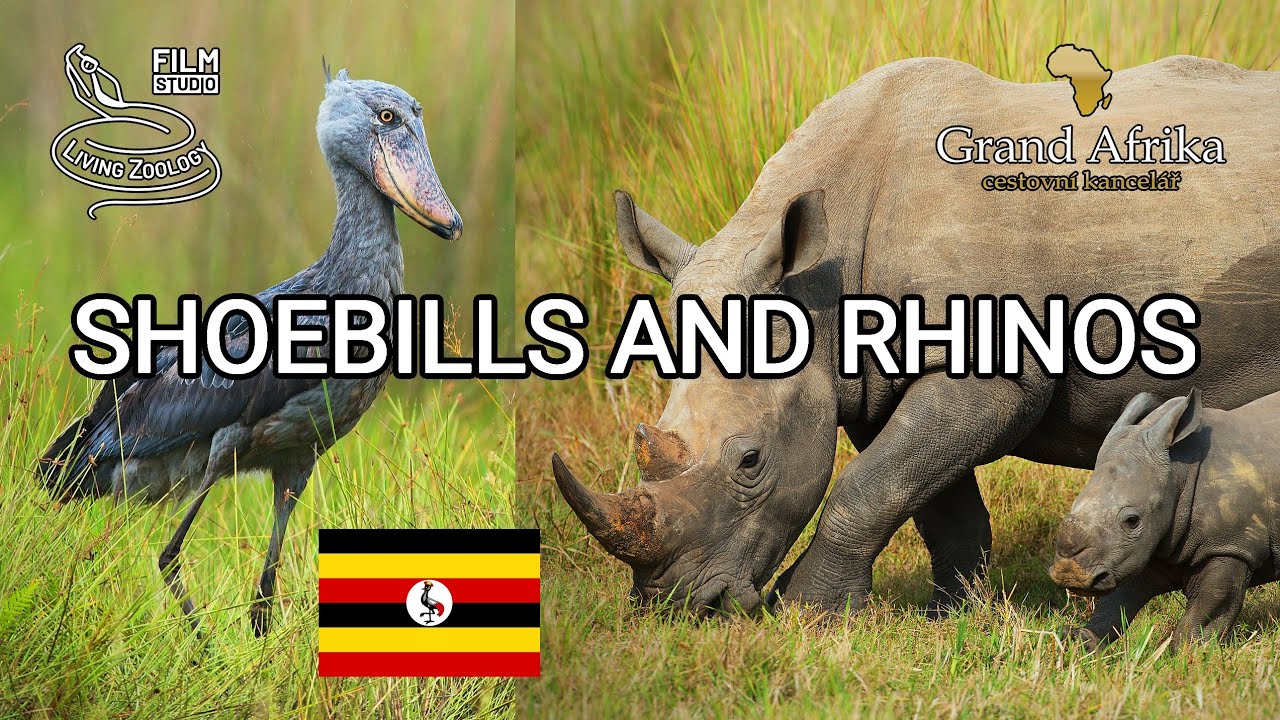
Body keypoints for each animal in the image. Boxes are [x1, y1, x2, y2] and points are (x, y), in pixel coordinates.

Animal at [551, 56, 1280, 616]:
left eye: (751, 462)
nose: (675, 605)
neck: (819, 289)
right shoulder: (874, 378)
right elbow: (926, 501)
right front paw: (952, 616)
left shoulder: (991, 370)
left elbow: (865, 490)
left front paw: (807, 612)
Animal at [1051, 389, 1280, 649]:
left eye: (1132, 520)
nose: (1069, 574)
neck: (1179, 471)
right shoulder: (1147, 545)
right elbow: (1117, 601)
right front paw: (1080, 642)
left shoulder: (1231, 545)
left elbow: (1209, 608)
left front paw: (1189, 651)